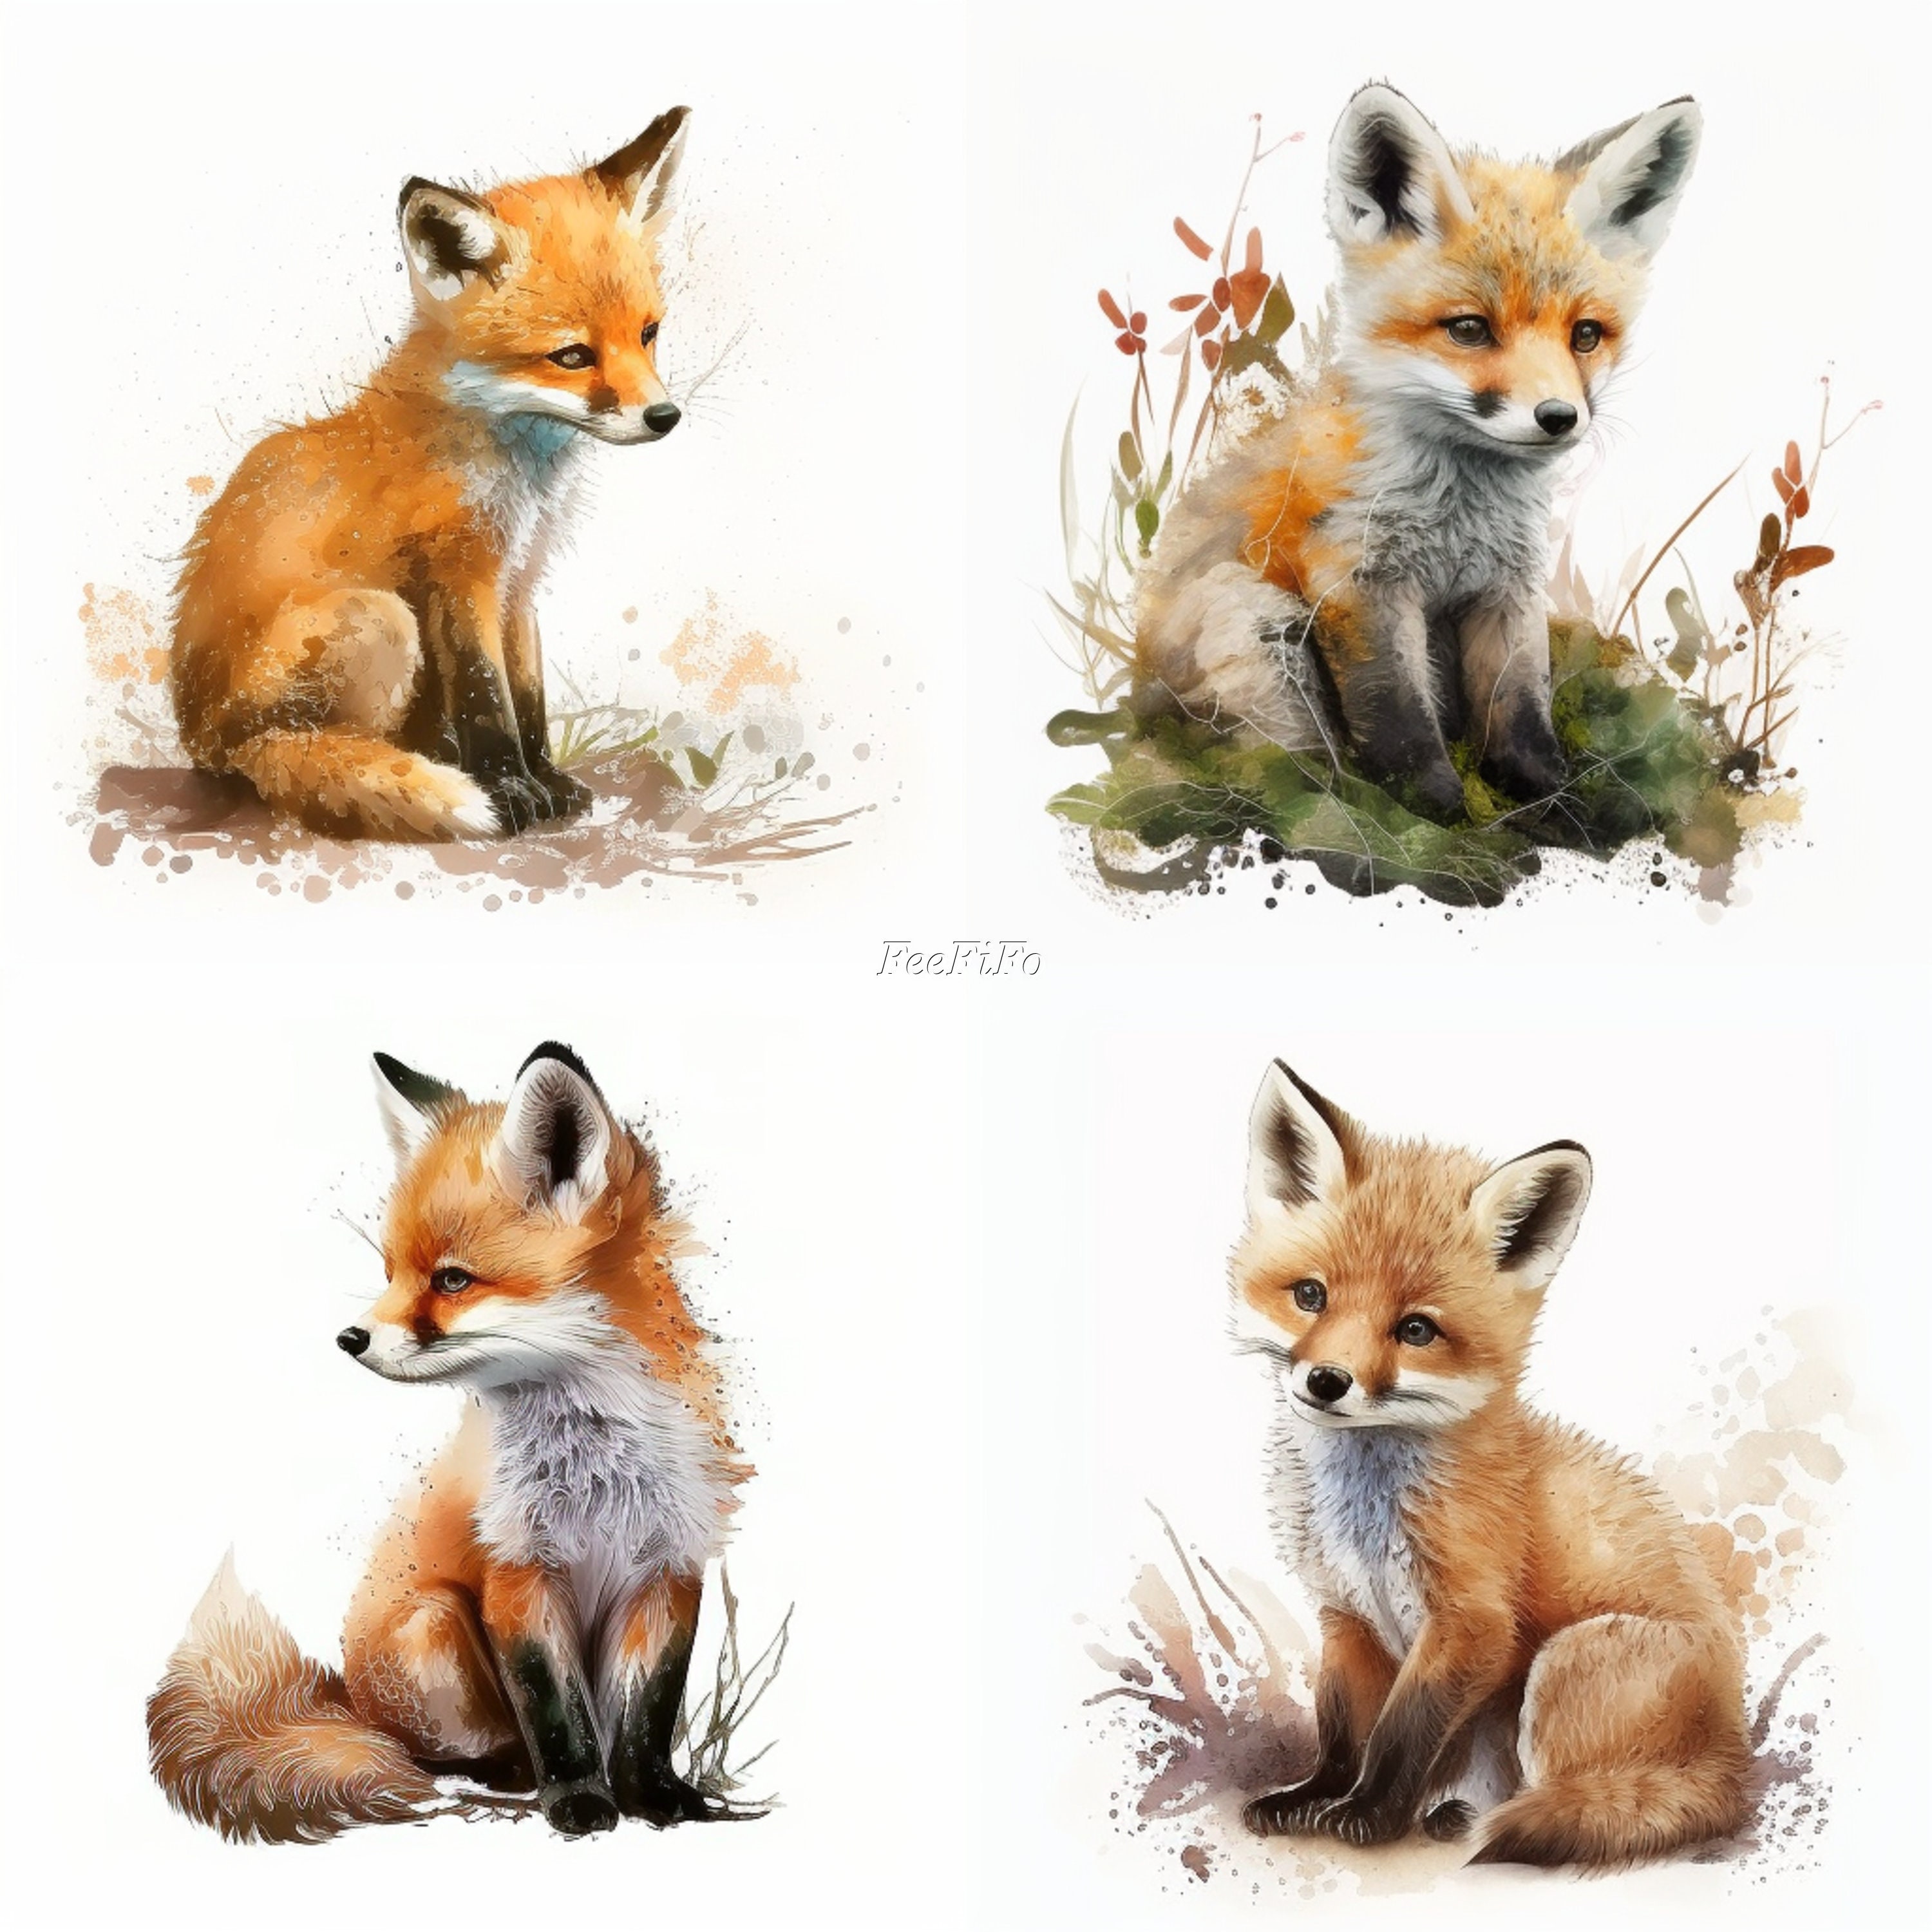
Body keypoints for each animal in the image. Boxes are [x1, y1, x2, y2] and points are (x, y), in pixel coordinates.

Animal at [148, 1042, 751, 1843]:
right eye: (390, 1275)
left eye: (453, 1281)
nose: (349, 1339)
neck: (597, 1472)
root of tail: (346, 1700)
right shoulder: (517, 1571)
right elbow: (557, 1716)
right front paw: (579, 1802)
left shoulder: (670, 1568)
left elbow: (648, 1714)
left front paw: (654, 1797)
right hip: (433, 1628)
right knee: (422, 1753)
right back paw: (503, 1776)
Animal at [169, 112, 691, 842]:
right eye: (572, 356)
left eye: (649, 334)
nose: (665, 417)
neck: (521, 477)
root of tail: (198, 734)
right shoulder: (457, 570)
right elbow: (486, 698)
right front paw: (511, 790)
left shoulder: (519, 579)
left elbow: (528, 696)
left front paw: (548, 780)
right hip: (379, 619)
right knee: (286, 756)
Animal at [1133, 85, 1702, 822]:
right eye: (1469, 329)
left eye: (1585, 335)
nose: (1558, 418)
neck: (1460, 514)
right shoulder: (1357, 581)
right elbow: (1396, 717)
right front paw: (1435, 811)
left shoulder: (1509, 588)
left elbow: (1520, 714)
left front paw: (1556, 806)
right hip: (1255, 621)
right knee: (1286, 769)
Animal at [1228, 1061, 1751, 1867]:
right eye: (1310, 1296)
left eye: (1416, 1330)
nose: (1327, 1382)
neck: (1360, 1520)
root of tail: (1732, 1767)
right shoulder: (1345, 1613)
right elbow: (1345, 1733)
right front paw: (1313, 1797)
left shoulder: (1471, 1622)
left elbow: (1400, 1735)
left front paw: (1370, 1815)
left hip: (1567, 1661)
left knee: (1580, 1807)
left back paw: (1481, 1822)